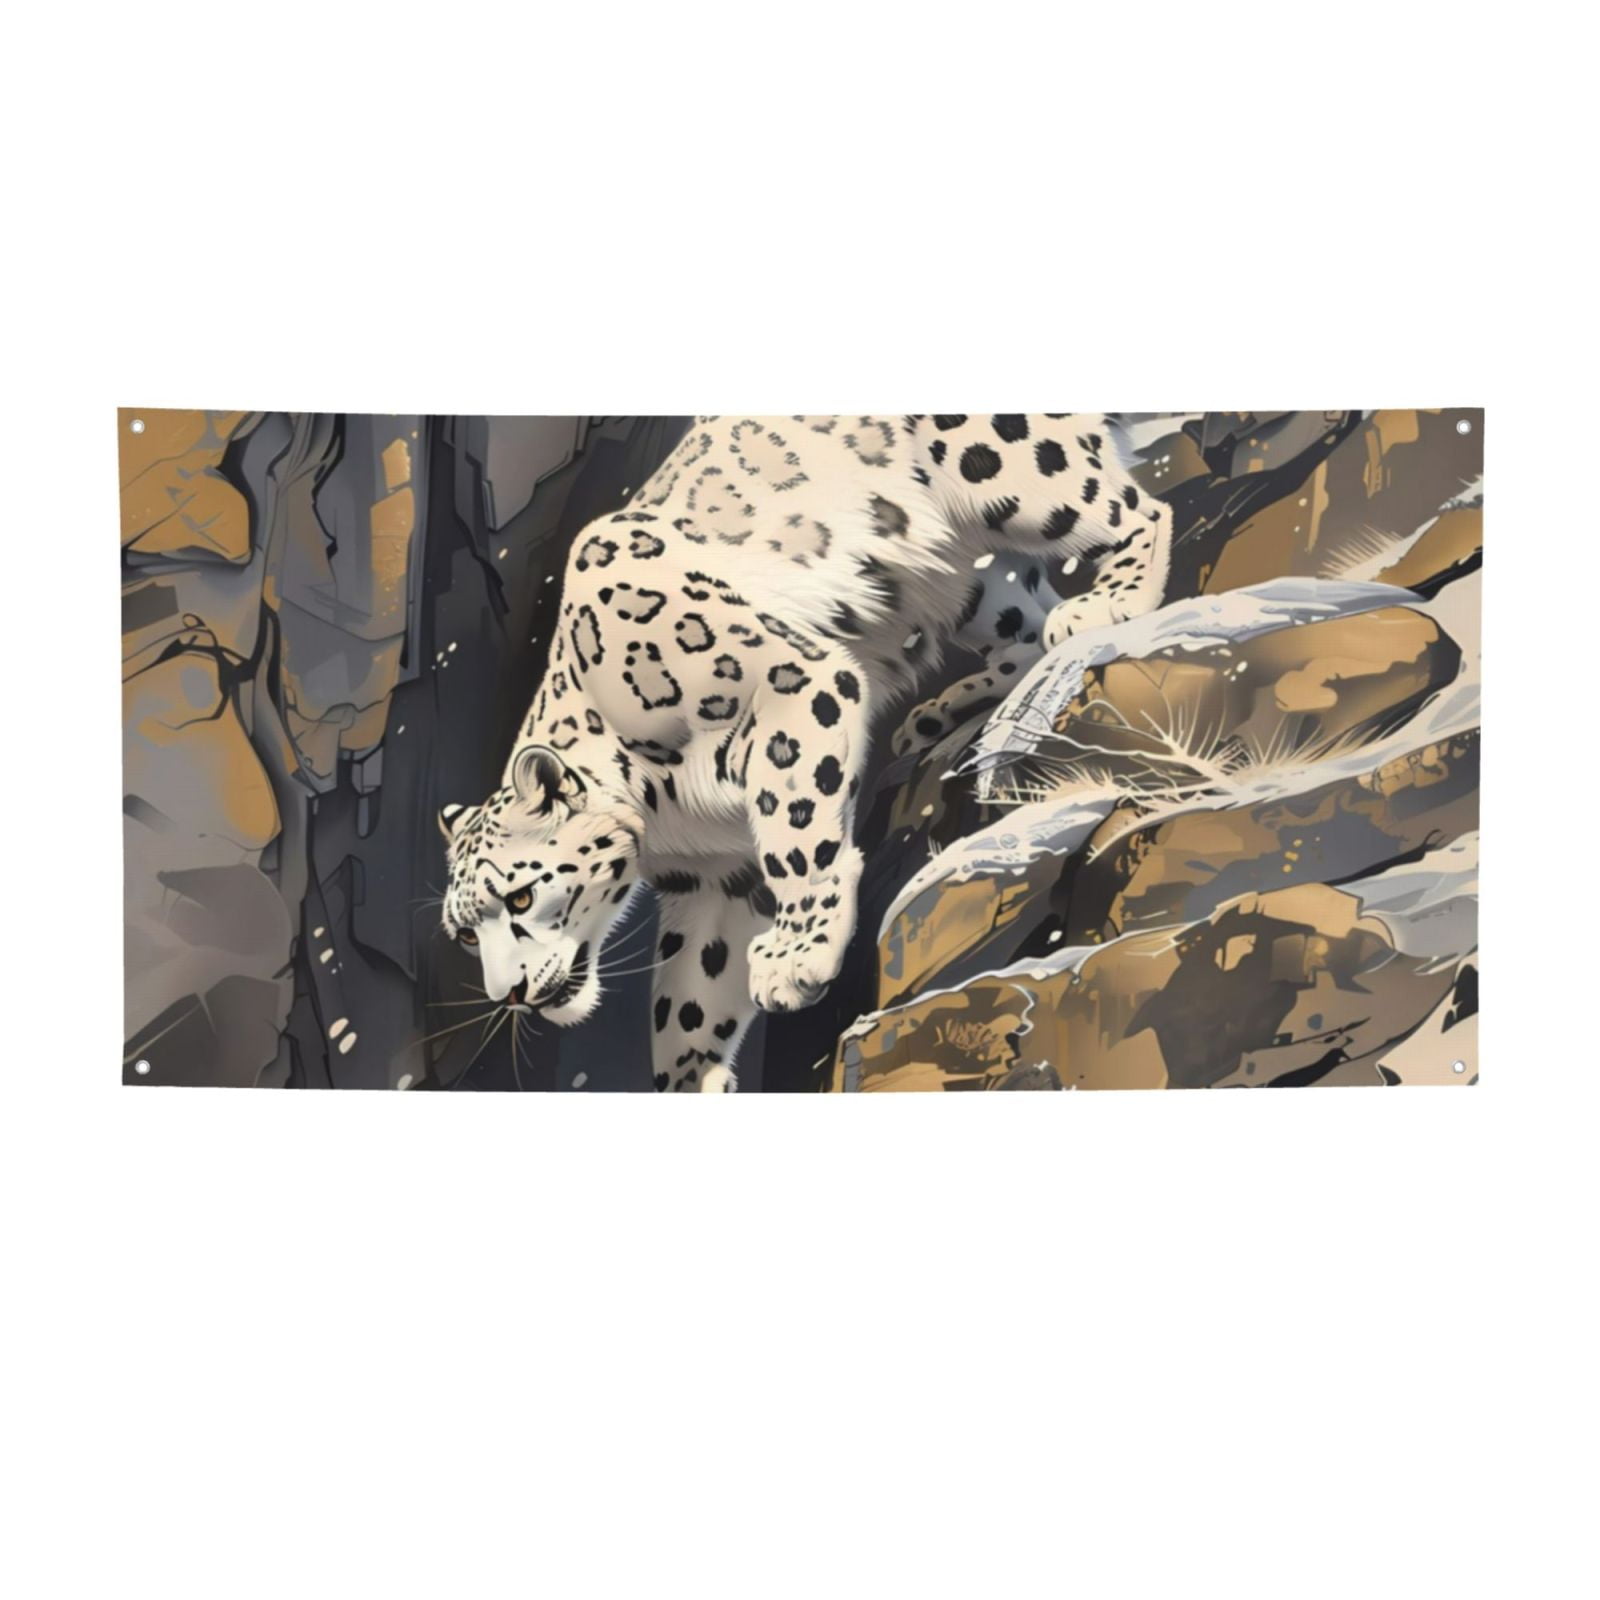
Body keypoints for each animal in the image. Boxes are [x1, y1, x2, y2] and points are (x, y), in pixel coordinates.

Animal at [439, 414, 1171, 1091]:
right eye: (466, 934)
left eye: (520, 896)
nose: (508, 994)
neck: (667, 815)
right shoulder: (716, 875)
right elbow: (691, 991)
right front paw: (693, 1077)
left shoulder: (791, 685)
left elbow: (796, 835)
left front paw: (797, 957)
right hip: (969, 579)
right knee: (1022, 615)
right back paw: (941, 711)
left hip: (1000, 461)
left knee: (1132, 509)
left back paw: (1106, 603)